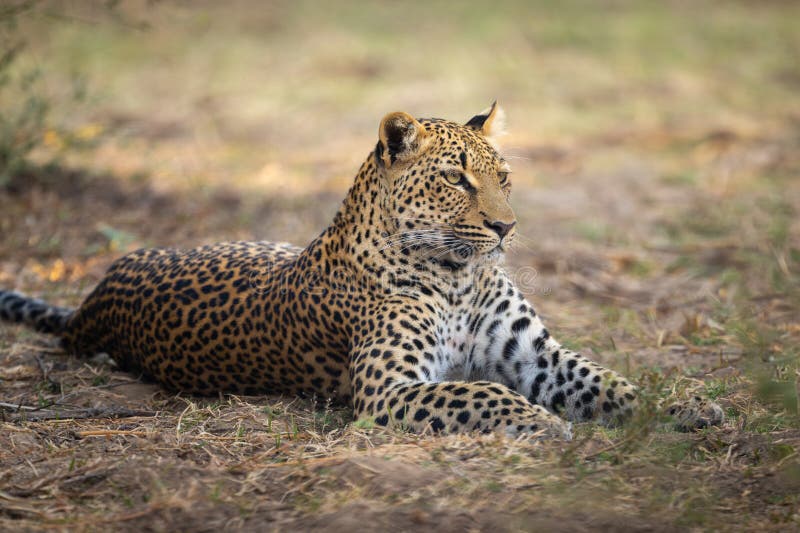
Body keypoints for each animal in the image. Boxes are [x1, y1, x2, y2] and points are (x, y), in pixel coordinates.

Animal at [0, 103, 723, 438]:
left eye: (505, 177)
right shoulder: (389, 390)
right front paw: (543, 423)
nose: (506, 227)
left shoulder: (536, 356)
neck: (459, 276)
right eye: (457, 179)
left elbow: (611, 380)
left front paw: (687, 405)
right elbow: (481, 393)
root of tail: (95, 298)